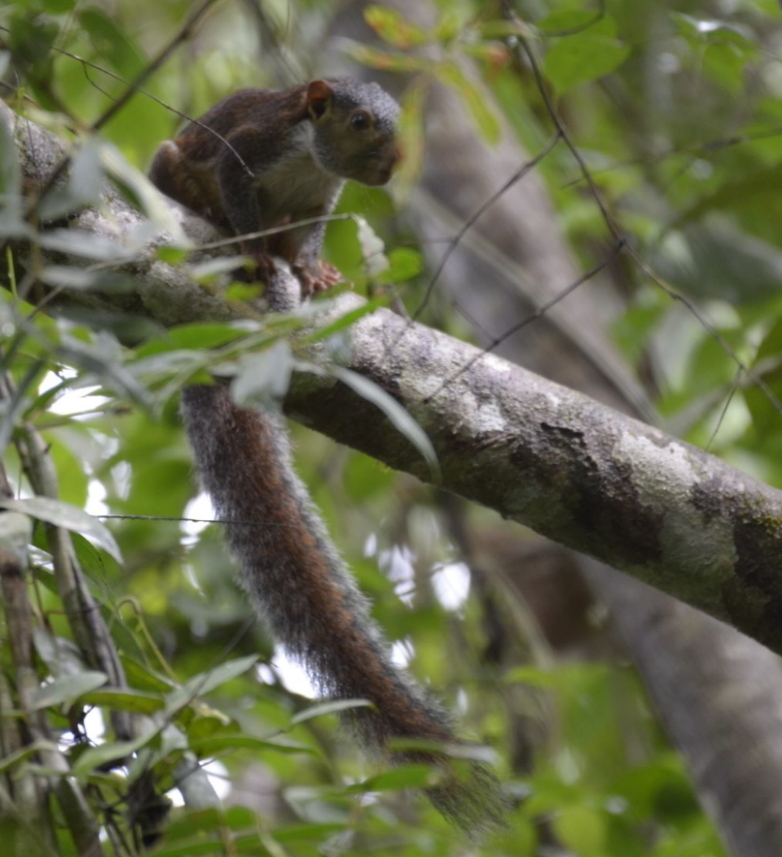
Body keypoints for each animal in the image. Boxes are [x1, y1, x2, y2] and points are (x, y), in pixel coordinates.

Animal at [150, 79, 505, 833]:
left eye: (399, 125)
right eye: (361, 121)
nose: (391, 163)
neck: (310, 161)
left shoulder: (319, 202)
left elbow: (307, 234)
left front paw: (310, 268)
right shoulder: (251, 145)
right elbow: (237, 190)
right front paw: (254, 248)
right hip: (173, 159)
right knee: (176, 173)